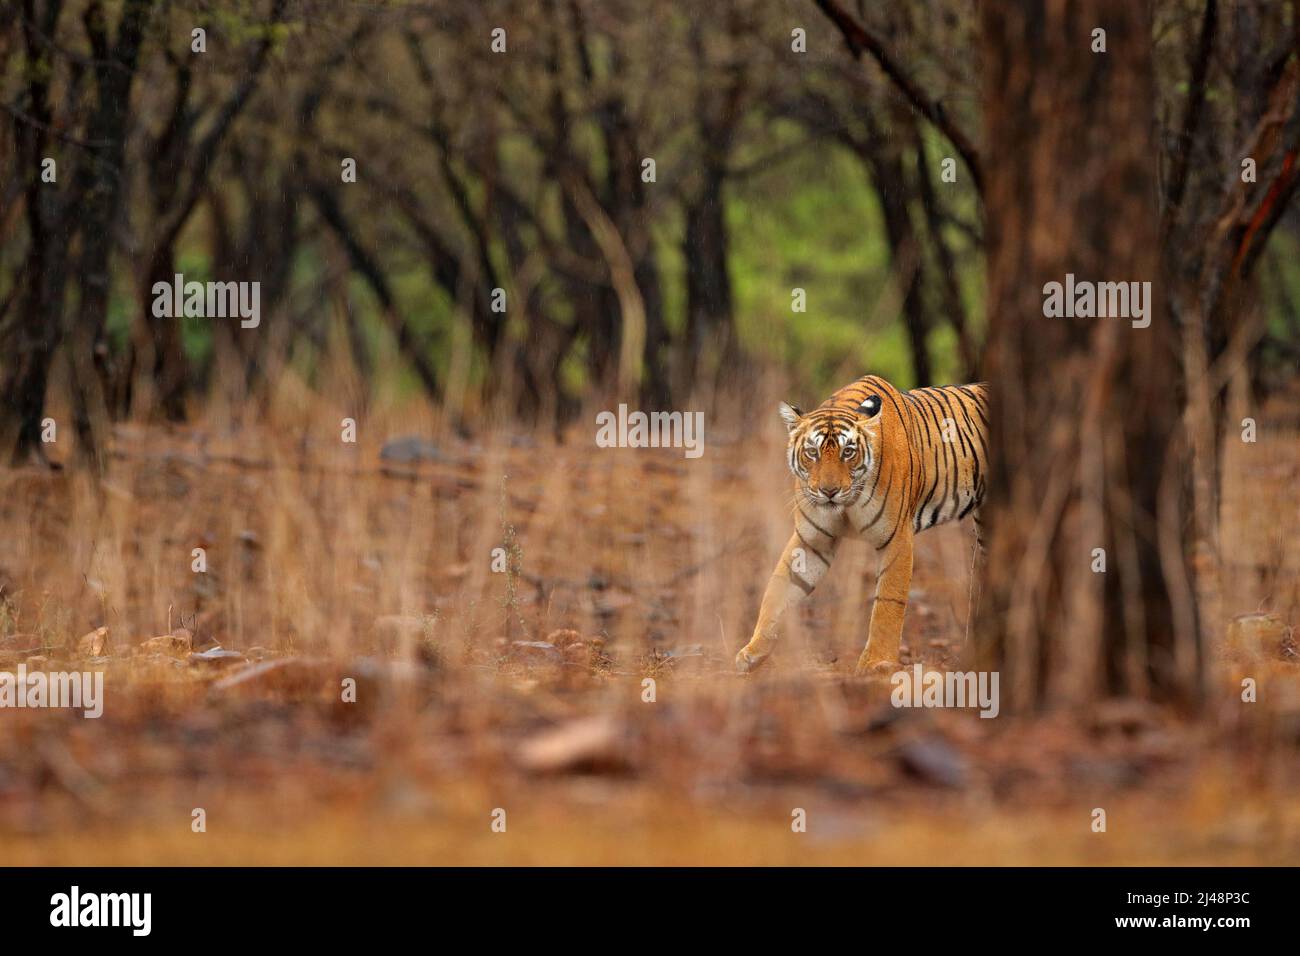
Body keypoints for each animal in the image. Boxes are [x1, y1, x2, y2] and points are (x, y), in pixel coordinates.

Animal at [735, 373, 990, 676]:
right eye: (812, 452)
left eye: (848, 452)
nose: (829, 491)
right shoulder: (812, 541)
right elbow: (778, 589)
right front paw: (753, 651)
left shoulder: (897, 539)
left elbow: (888, 603)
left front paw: (877, 662)